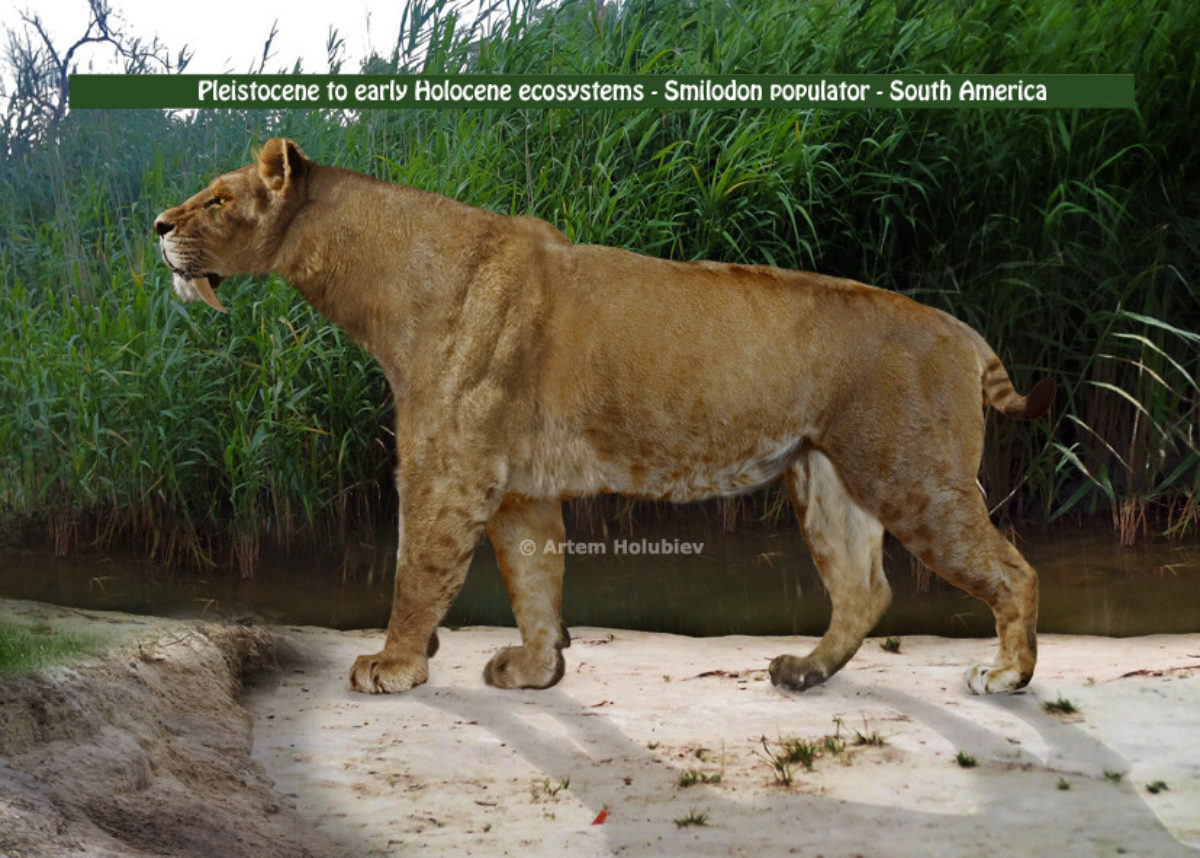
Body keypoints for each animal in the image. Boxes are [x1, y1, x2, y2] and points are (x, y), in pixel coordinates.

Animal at [155, 138, 1053, 697]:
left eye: (218, 200)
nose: (158, 225)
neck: (376, 283)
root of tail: (963, 328)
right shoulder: (516, 487)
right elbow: (534, 580)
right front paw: (535, 671)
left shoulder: (447, 470)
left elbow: (419, 571)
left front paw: (394, 665)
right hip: (829, 478)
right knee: (864, 588)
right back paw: (803, 672)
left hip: (914, 477)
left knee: (1013, 571)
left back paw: (1005, 677)